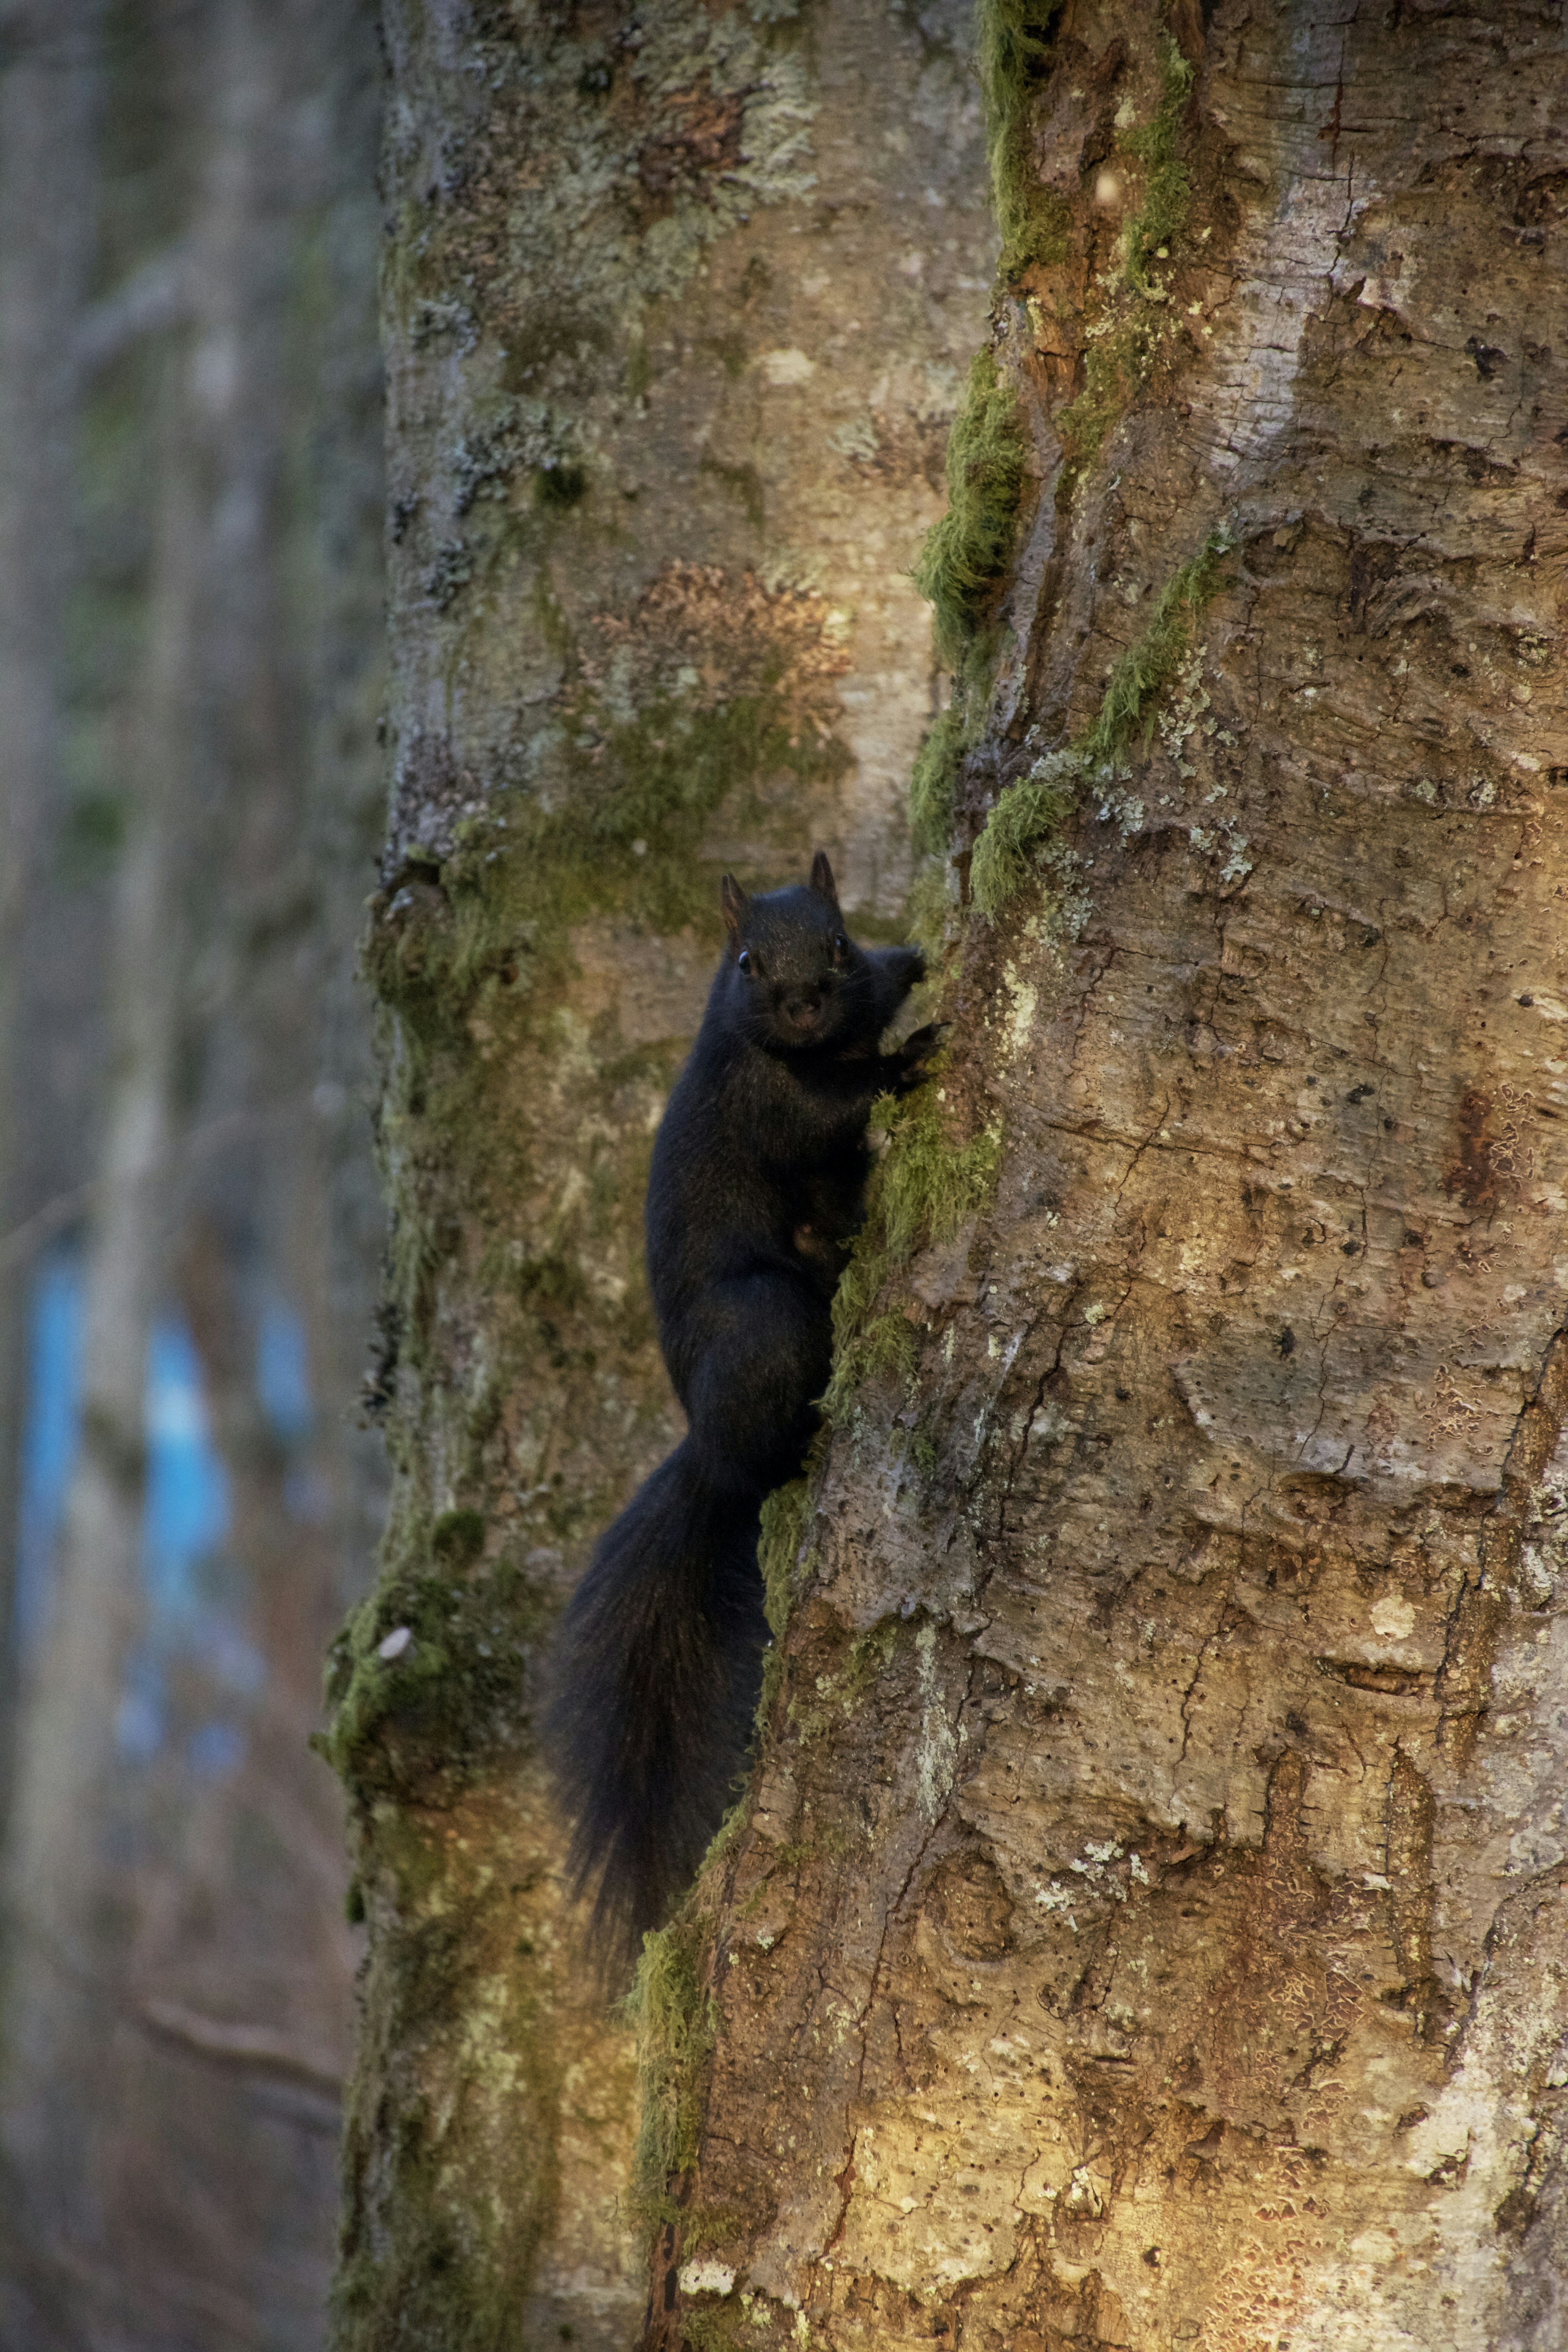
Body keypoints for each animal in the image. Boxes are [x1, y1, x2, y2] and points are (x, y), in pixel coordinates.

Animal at [545, 851, 933, 1959]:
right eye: (749, 963)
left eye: (837, 945)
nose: (802, 1003)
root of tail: (706, 1454)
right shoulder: (764, 1098)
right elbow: (826, 1113)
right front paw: (903, 1061)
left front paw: (914, 965)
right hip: (764, 1325)